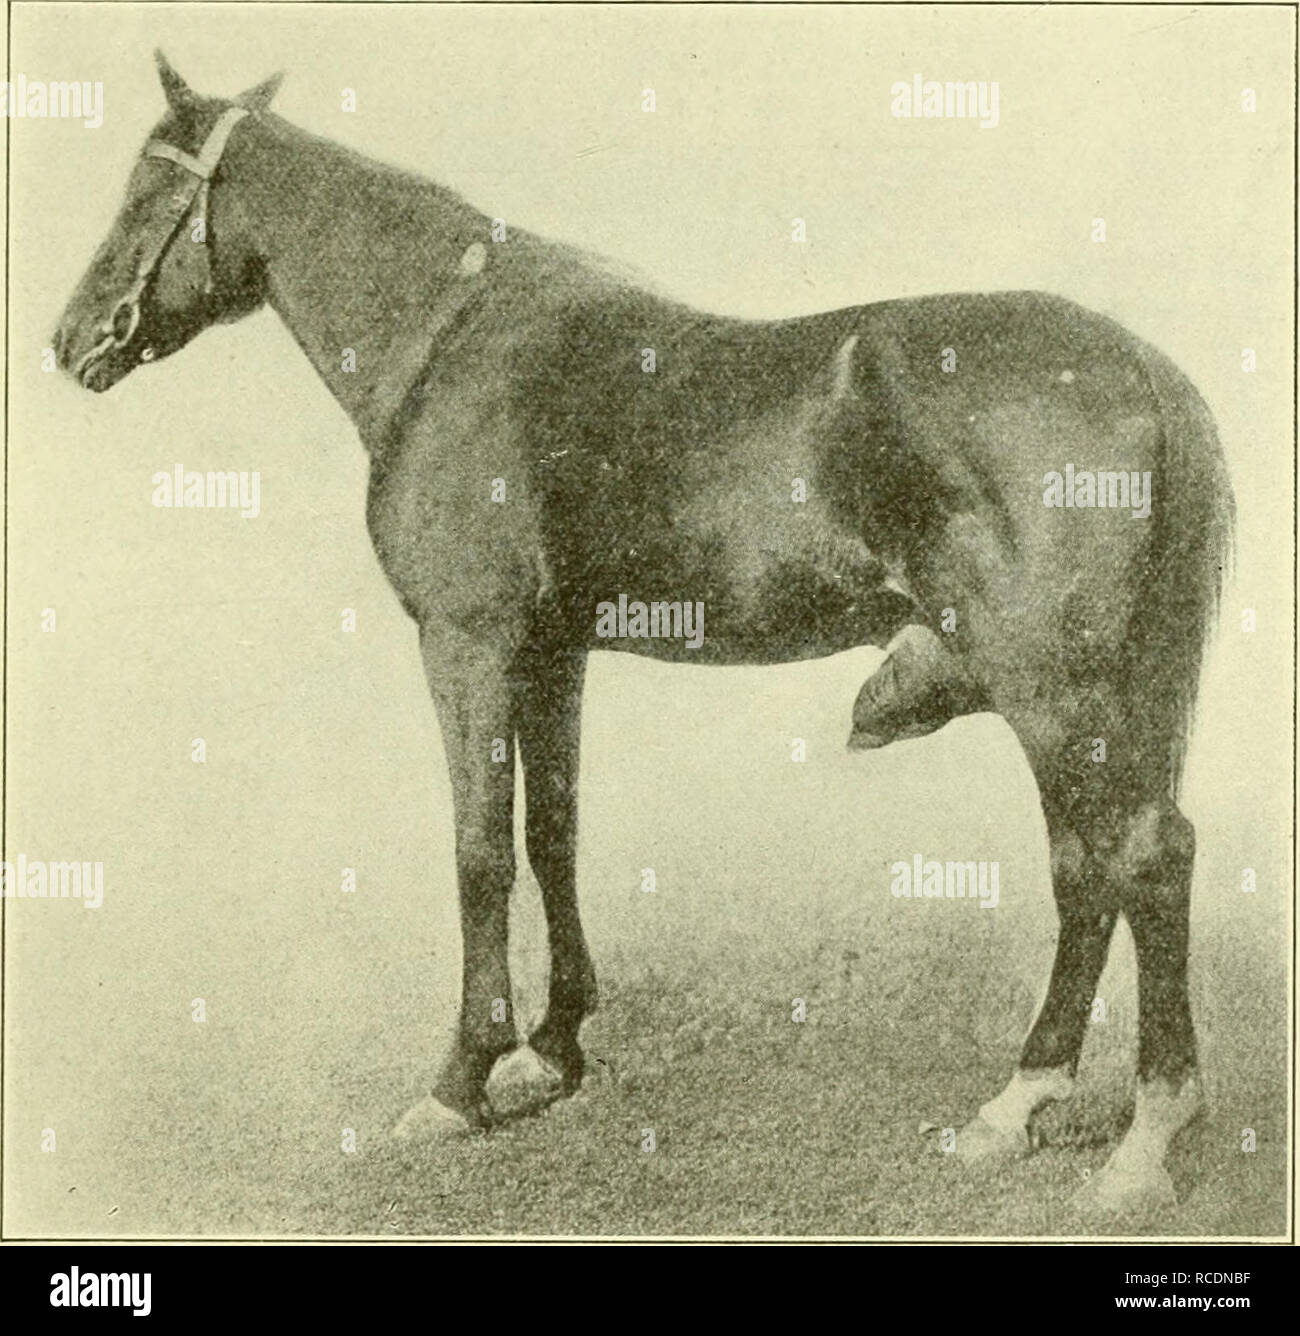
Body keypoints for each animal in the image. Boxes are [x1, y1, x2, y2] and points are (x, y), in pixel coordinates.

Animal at [54, 55, 1233, 1224]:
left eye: (147, 192)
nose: (70, 340)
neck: (449, 343)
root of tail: (1147, 371)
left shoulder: (469, 646)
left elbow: (479, 854)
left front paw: (460, 1081)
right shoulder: (552, 653)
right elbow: (551, 835)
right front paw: (552, 1046)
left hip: (1054, 689)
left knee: (1143, 857)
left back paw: (1144, 1143)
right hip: (1101, 698)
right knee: (1085, 868)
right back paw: (1019, 1100)